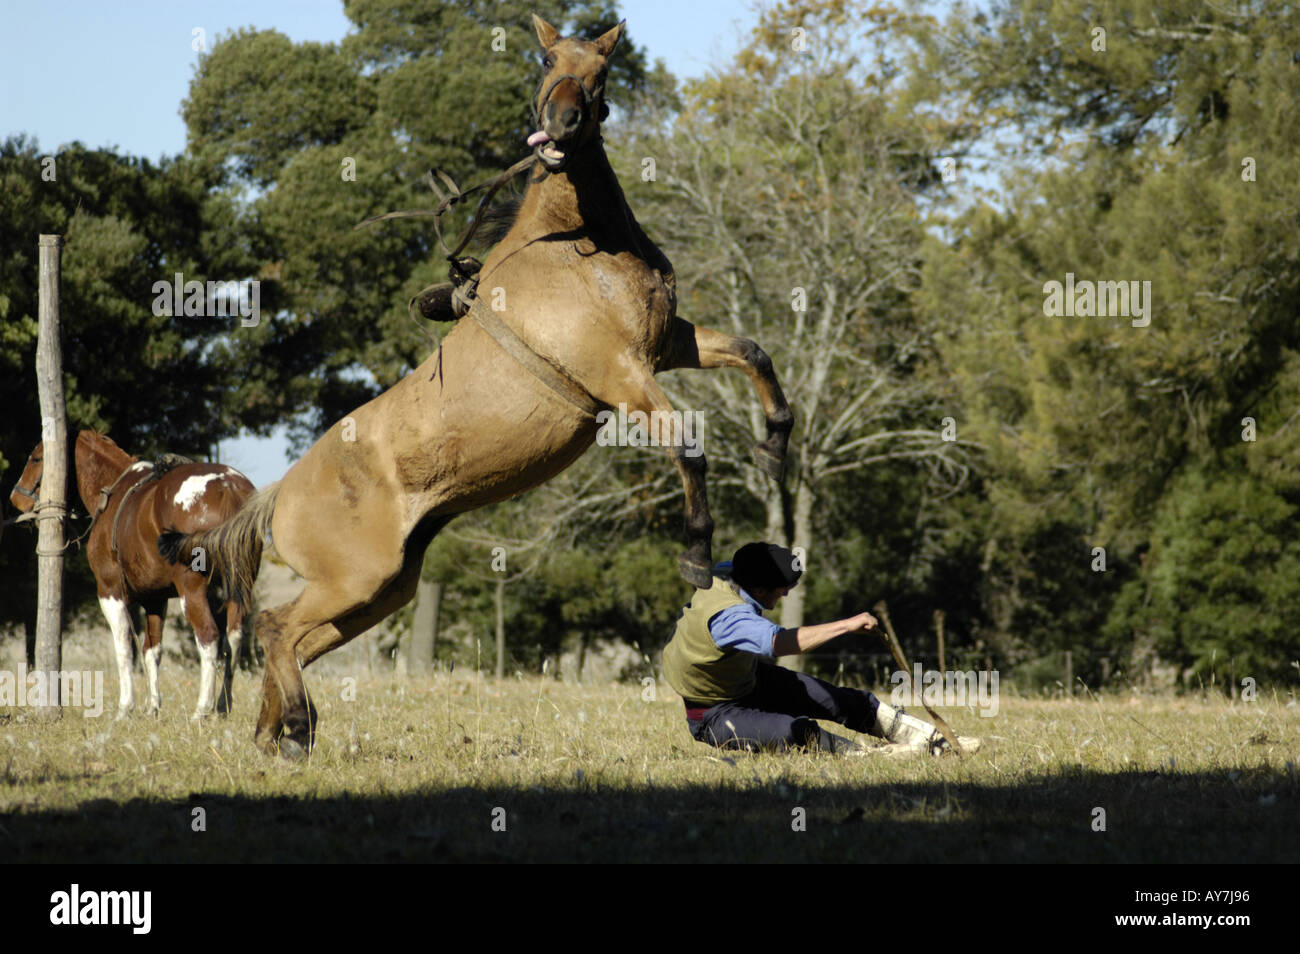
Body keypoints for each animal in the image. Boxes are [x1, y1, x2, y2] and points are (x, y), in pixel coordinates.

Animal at [9, 430, 257, 718]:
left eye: (37, 457)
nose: (16, 498)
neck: (111, 493)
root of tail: (227, 487)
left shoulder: (109, 592)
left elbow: (124, 647)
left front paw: (125, 707)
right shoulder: (155, 599)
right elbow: (152, 650)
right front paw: (152, 707)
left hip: (192, 589)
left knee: (208, 636)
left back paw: (201, 710)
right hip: (238, 586)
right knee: (234, 636)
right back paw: (222, 705)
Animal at [157, 15, 793, 758]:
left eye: (601, 69)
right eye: (545, 60)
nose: (561, 121)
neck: (574, 246)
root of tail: (278, 493)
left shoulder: (665, 348)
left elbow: (752, 353)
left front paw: (775, 447)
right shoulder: (624, 376)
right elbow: (689, 445)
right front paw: (696, 556)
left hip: (382, 590)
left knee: (291, 638)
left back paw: (275, 731)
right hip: (357, 581)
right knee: (275, 627)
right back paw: (293, 729)